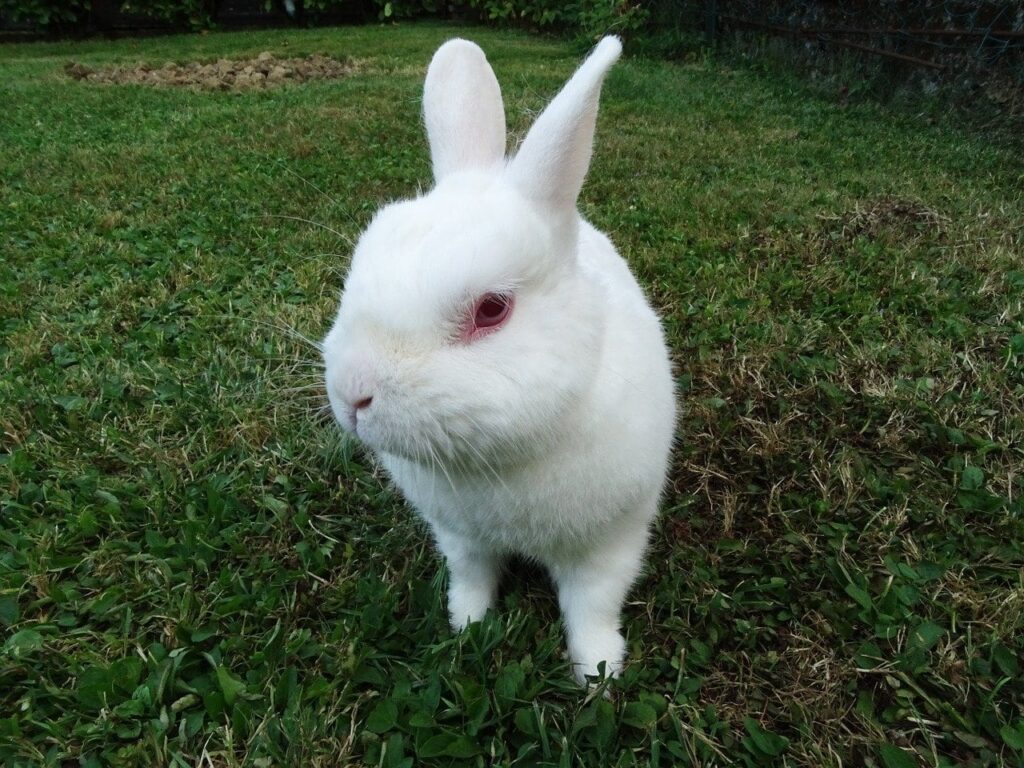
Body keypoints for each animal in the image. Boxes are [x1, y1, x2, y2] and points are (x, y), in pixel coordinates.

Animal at [322, 36, 676, 684]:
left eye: (491, 309)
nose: (352, 394)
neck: (496, 460)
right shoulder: (460, 538)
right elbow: (471, 579)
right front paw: (466, 627)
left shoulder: (610, 545)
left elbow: (591, 608)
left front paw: (599, 675)